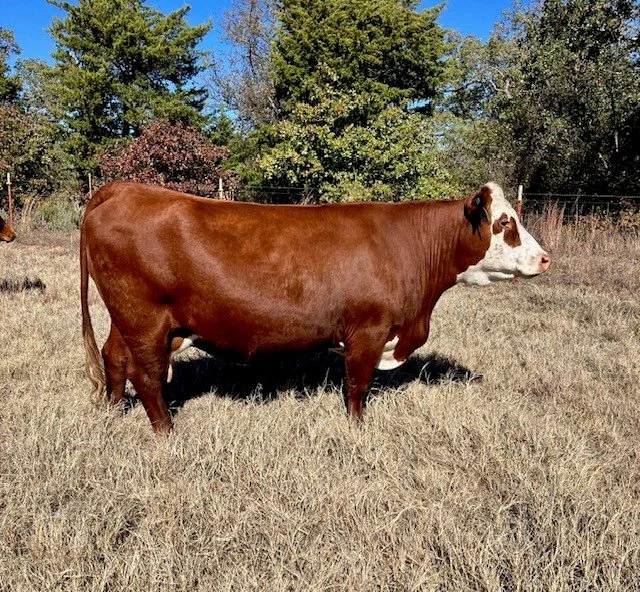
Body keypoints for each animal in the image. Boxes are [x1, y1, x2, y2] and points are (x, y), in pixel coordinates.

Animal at [80, 181, 550, 433]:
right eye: (504, 222)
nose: (545, 258)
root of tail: (124, 188)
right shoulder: (368, 330)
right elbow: (357, 386)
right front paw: (358, 430)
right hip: (145, 320)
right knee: (147, 375)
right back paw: (166, 432)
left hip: (126, 319)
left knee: (113, 357)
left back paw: (112, 411)